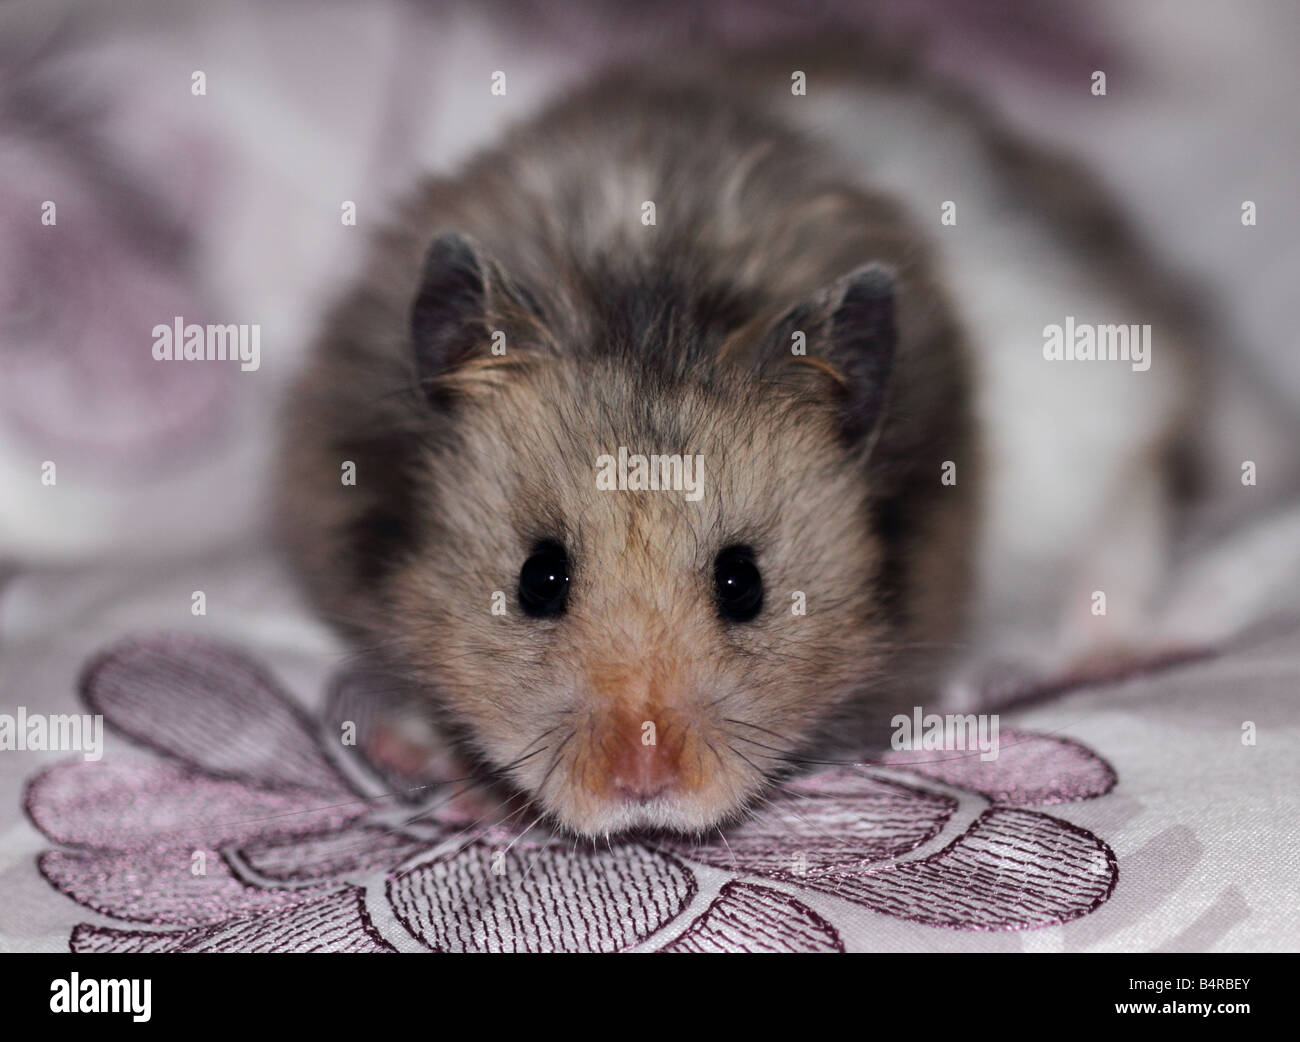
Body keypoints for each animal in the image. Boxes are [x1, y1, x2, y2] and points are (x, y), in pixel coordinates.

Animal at [279, 45, 1195, 837]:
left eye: (743, 583)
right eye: (538, 579)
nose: (643, 786)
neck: (656, 292)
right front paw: (446, 774)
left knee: (1127, 534)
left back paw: (1105, 657)